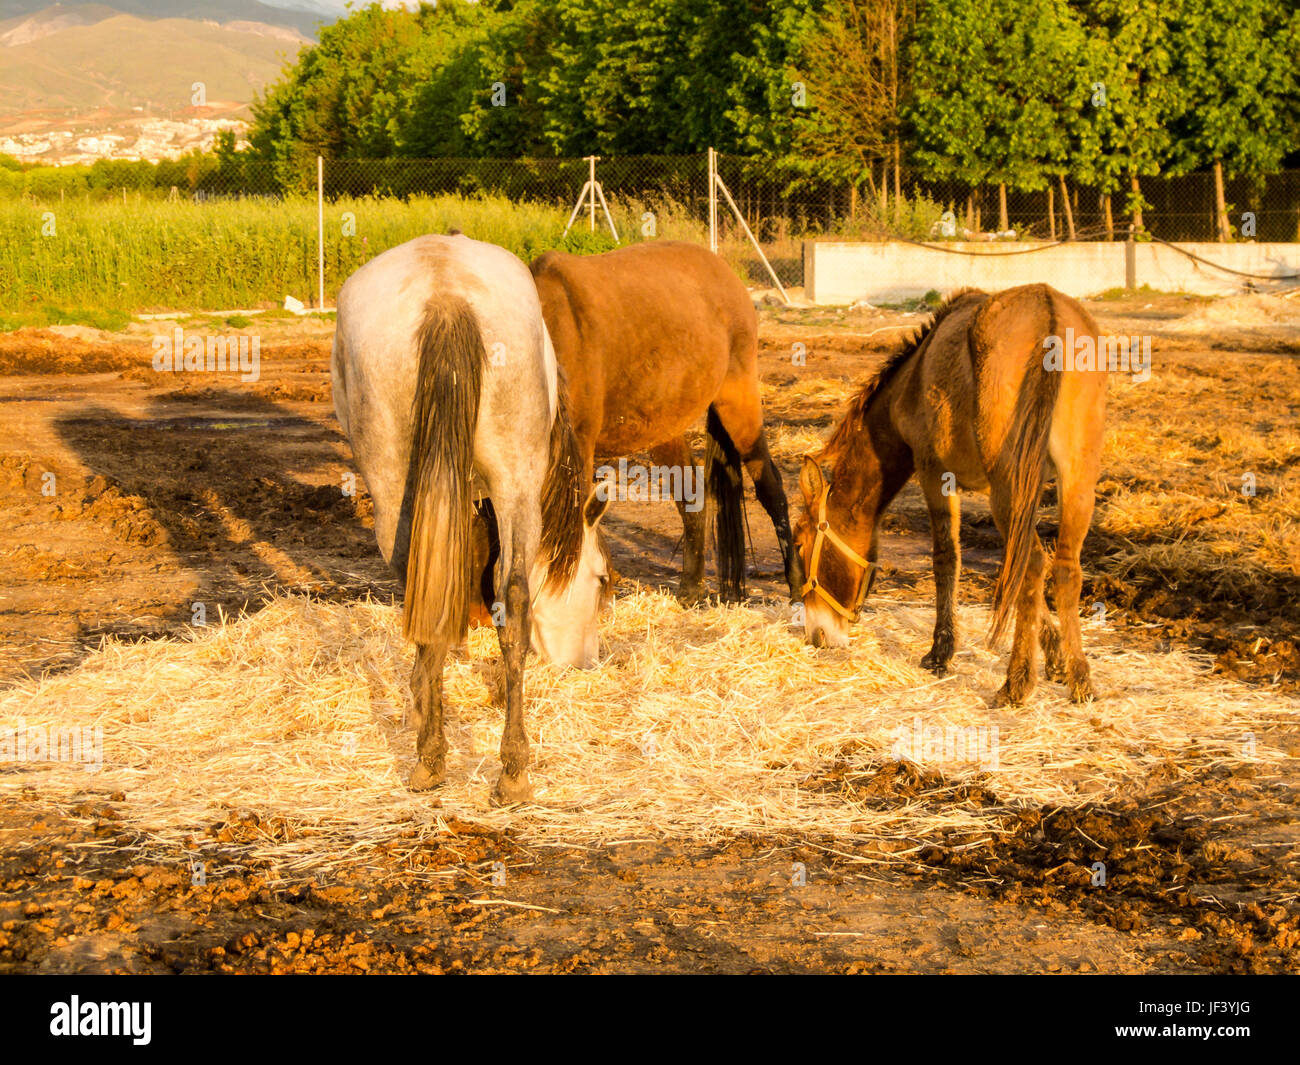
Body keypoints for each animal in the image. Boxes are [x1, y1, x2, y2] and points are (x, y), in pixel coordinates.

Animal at [332, 234, 611, 804]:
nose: (588, 663)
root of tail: (446, 297)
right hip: (509, 478)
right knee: (514, 596)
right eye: (602, 580)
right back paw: (508, 768)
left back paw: (435, 752)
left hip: (398, 486)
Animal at [529, 240, 804, 604]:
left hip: (738, 402)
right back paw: (692, 587)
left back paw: (797, 585)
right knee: (692, 496)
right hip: (664, 427)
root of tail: (725, 273)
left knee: (770, 486)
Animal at [795, 283, 1108, 706]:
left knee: (1030, 564)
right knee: (1063, 568)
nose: (817, 636)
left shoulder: (934, 473)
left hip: (1008, 488)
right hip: (1076, 479)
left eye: (800, 545)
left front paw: (941, 652)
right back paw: (1079, 679)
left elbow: (947, 559)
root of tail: (1048, 310)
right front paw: (1057, 659)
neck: (911, 380)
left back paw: (1016, 682)